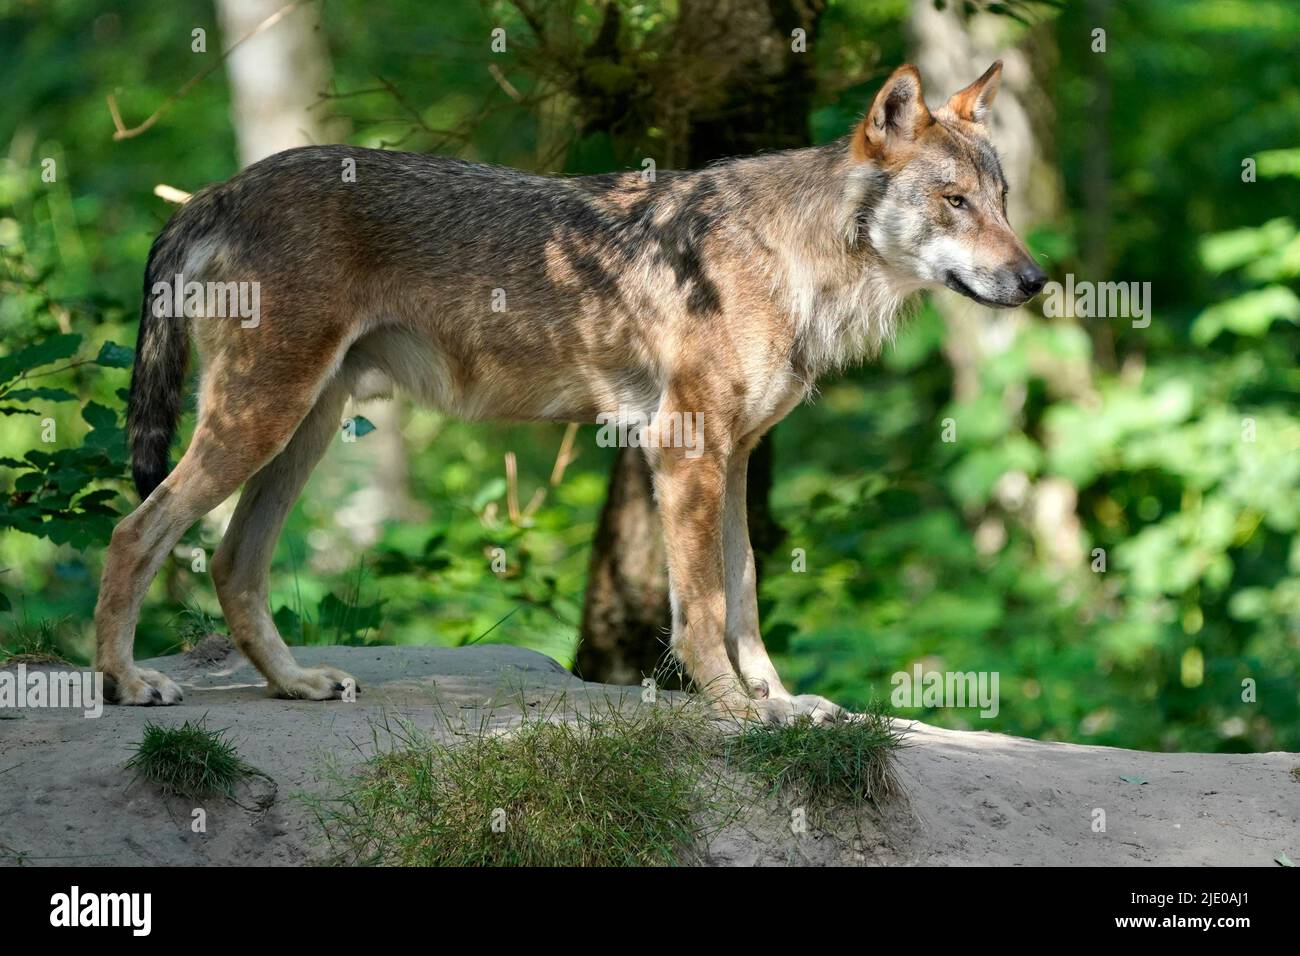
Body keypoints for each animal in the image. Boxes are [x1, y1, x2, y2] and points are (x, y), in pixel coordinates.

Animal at [95, 61, 1045, 721]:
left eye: (1003, 199)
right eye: (954, 201)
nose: (1037, 281)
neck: (796, 260)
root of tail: (218, 189)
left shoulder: (736, 458)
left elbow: (745, 599)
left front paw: (777, 702)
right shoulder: (687, 450)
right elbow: (703, 608)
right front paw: (735, 712)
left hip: (302, 431)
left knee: (231, 561)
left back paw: (294, 683)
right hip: (262, 421)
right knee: (135, 530)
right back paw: (125, 683)